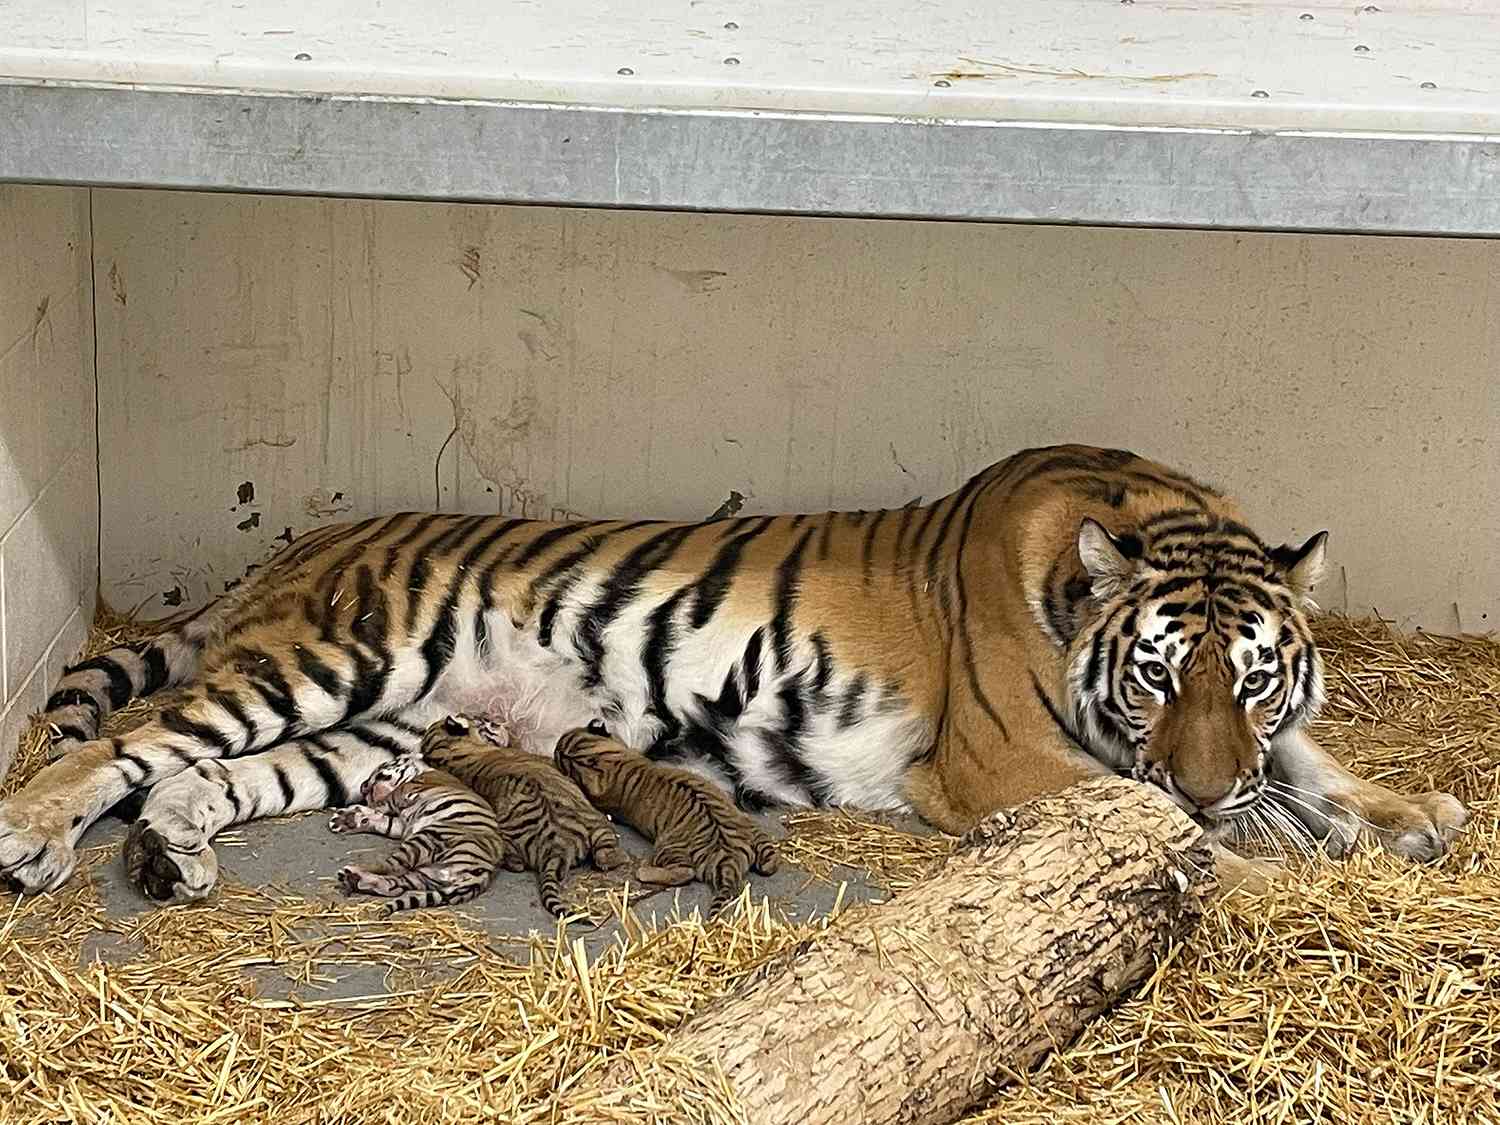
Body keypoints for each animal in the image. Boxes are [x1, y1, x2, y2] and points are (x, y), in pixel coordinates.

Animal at [328, 756, 506, 913]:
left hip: (429, 837)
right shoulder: (400, 824)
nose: (362, 786)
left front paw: (351, 813)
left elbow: (381, 805)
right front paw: (348, 820)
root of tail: (483, 874)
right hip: (424, 876)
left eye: (380, 769)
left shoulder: (402, 792)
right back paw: (358, 879)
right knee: (395, 885)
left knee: (392, 866)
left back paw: (352, 871)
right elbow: (383, 821)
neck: (422, 771)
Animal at [554, 726, 779, 913]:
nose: (556, 748)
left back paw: (643, 872)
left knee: (685, 873)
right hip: (753, 830)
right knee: (770, 864)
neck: (600, 760)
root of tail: (728, 860)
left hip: (667, 848)